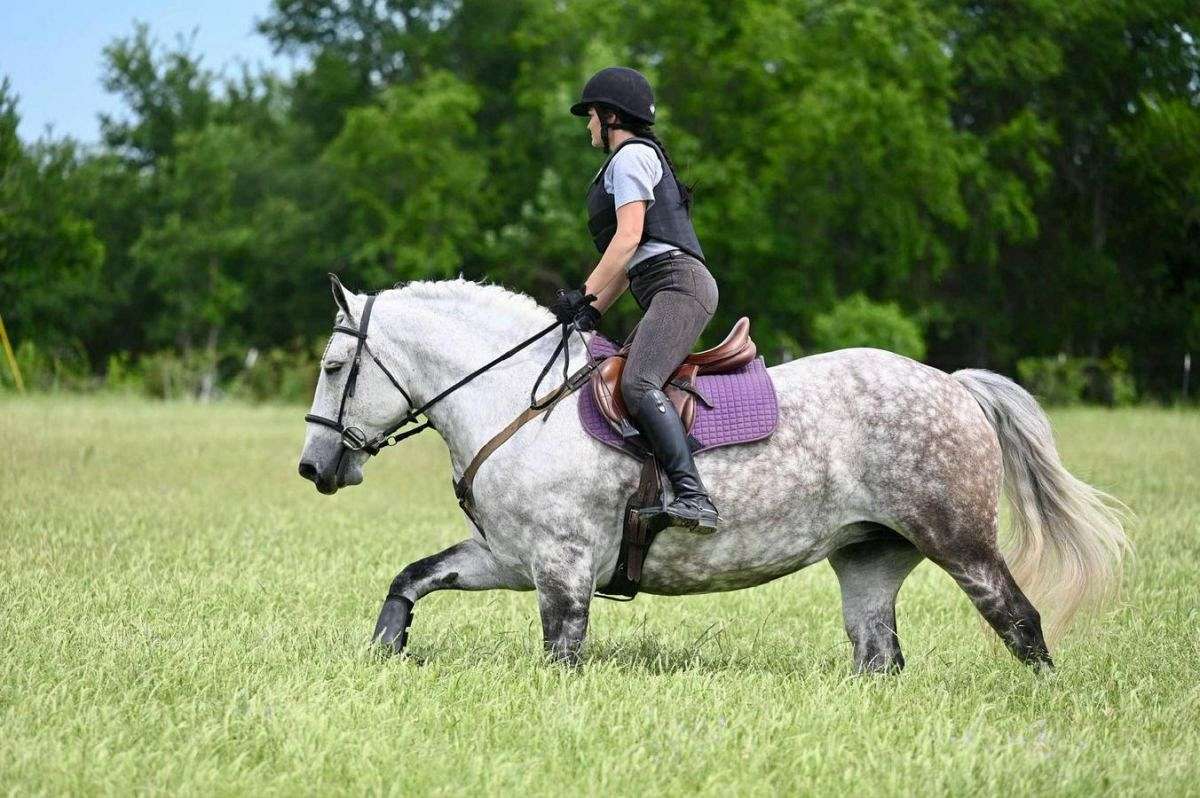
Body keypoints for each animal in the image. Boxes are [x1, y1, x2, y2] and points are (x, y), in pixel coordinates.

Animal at [298, 276, 1129, 672]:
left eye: (335, 367)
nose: (312, 467)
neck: (518, 403)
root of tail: (953, 384)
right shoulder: (510, 556)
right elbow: (412, 579)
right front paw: (387, 649)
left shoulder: (564, 565)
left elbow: (562, 654)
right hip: (869, 557)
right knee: (879, 656)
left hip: (959, 540)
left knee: (1020, 623)